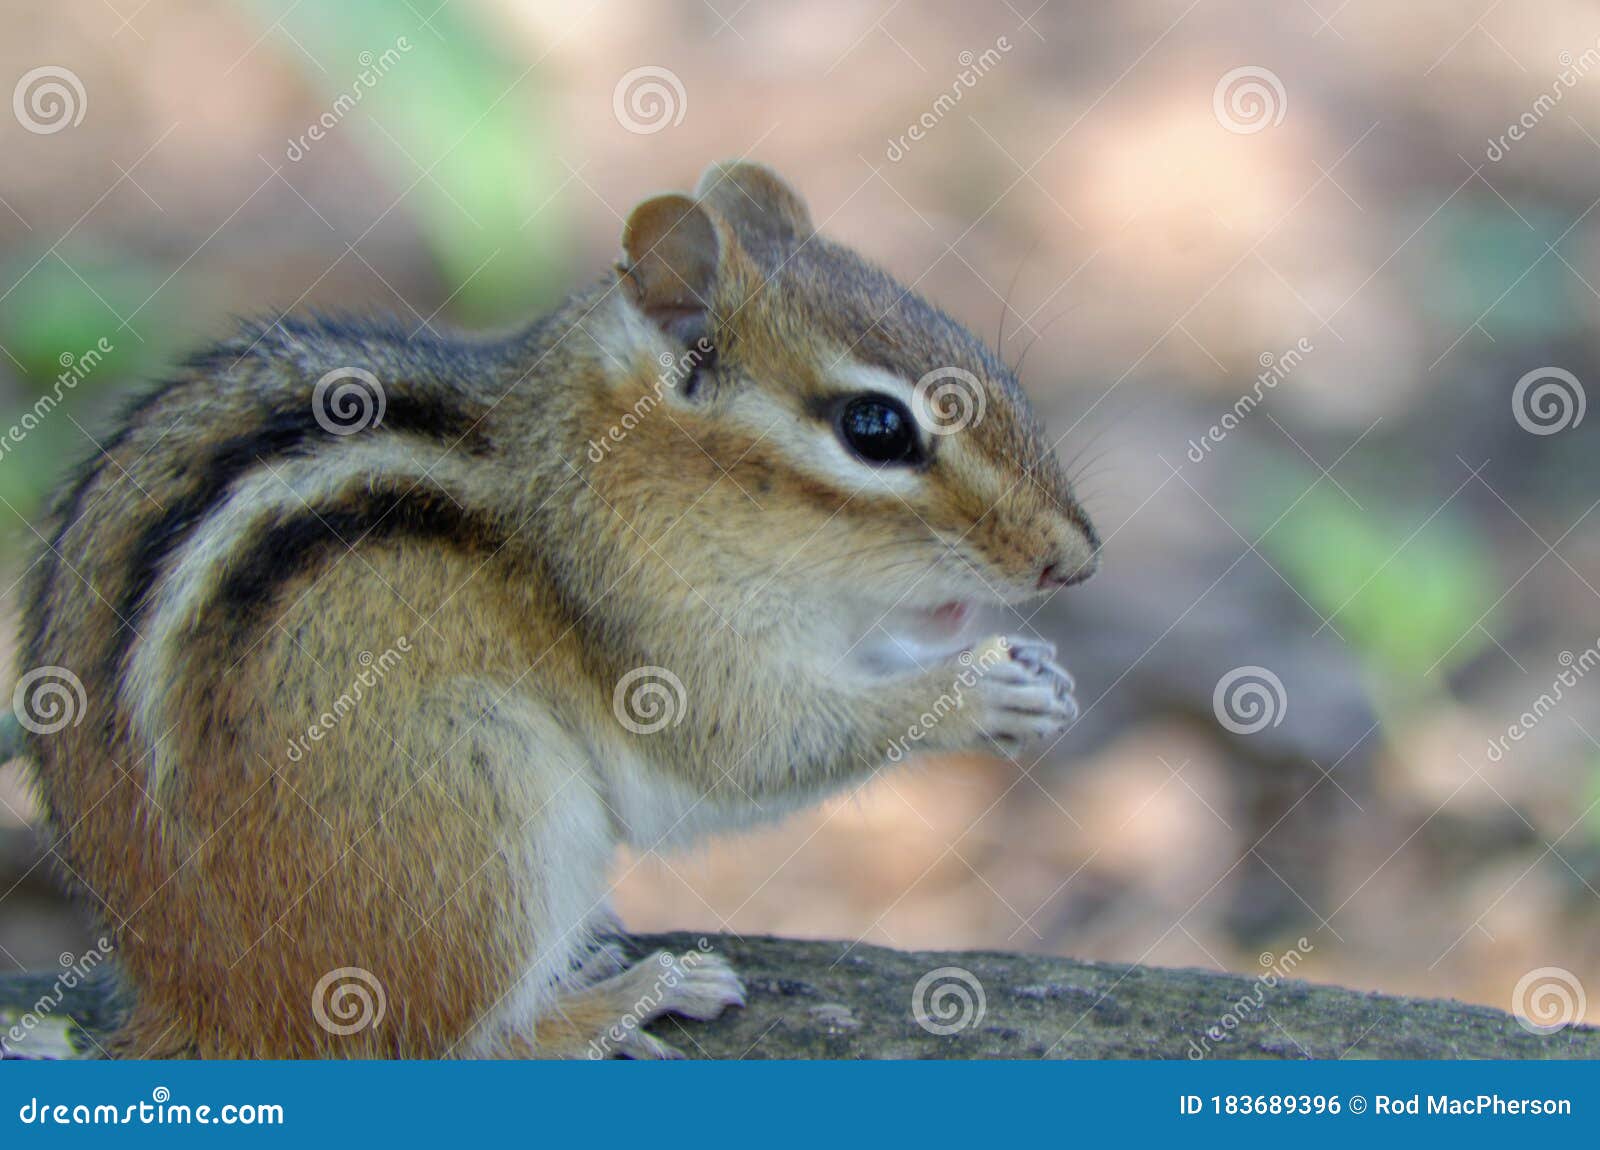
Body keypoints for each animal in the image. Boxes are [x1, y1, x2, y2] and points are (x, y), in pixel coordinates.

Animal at [14, 160, 1098, 1058]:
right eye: (875, 428)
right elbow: (748, 752)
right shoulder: (662, 646)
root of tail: (203, 1008)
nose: (1077, 559)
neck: (601, 468)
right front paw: (978, 691)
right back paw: (624, 997)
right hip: (477, 788)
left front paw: (1018, 661)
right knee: (456, 1042)